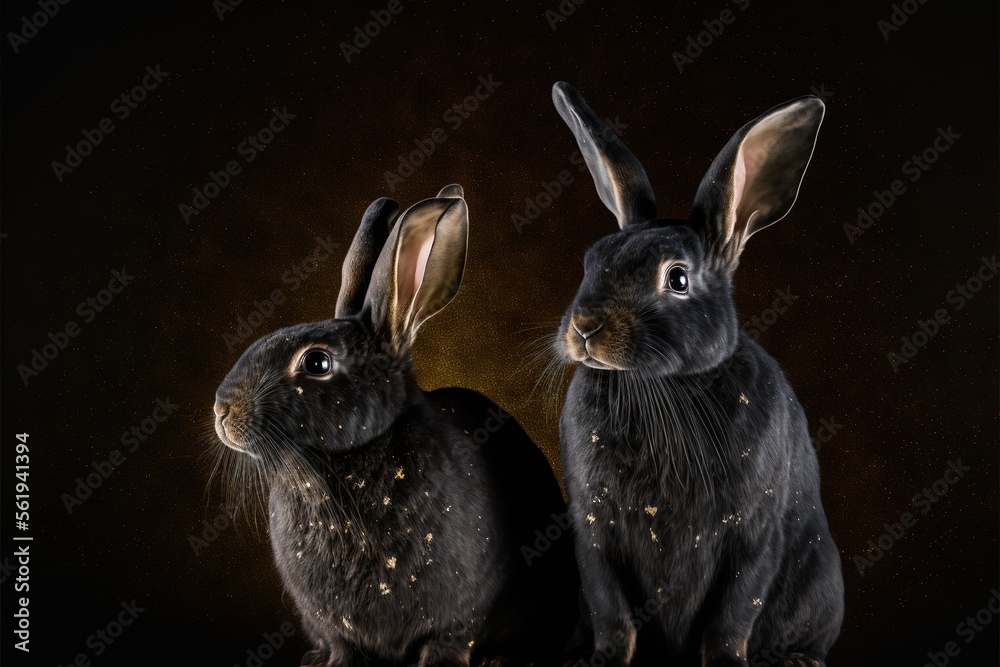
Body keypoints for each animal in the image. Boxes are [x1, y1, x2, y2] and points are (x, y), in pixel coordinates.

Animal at [212, 184, 578, 667]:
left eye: (317, 363)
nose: (222, 410)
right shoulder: (332, 624)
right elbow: (343, 645)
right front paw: (331, 662)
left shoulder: (462, 611)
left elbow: (451, 637)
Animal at [548, 82, 844, 667]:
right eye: (591, 261)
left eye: (678, 279)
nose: (585, 327)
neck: (660, 387)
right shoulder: (594, 531)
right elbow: (611, 611)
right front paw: (600, 658)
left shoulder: (754, 534)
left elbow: (732, 615)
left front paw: (728, 662)